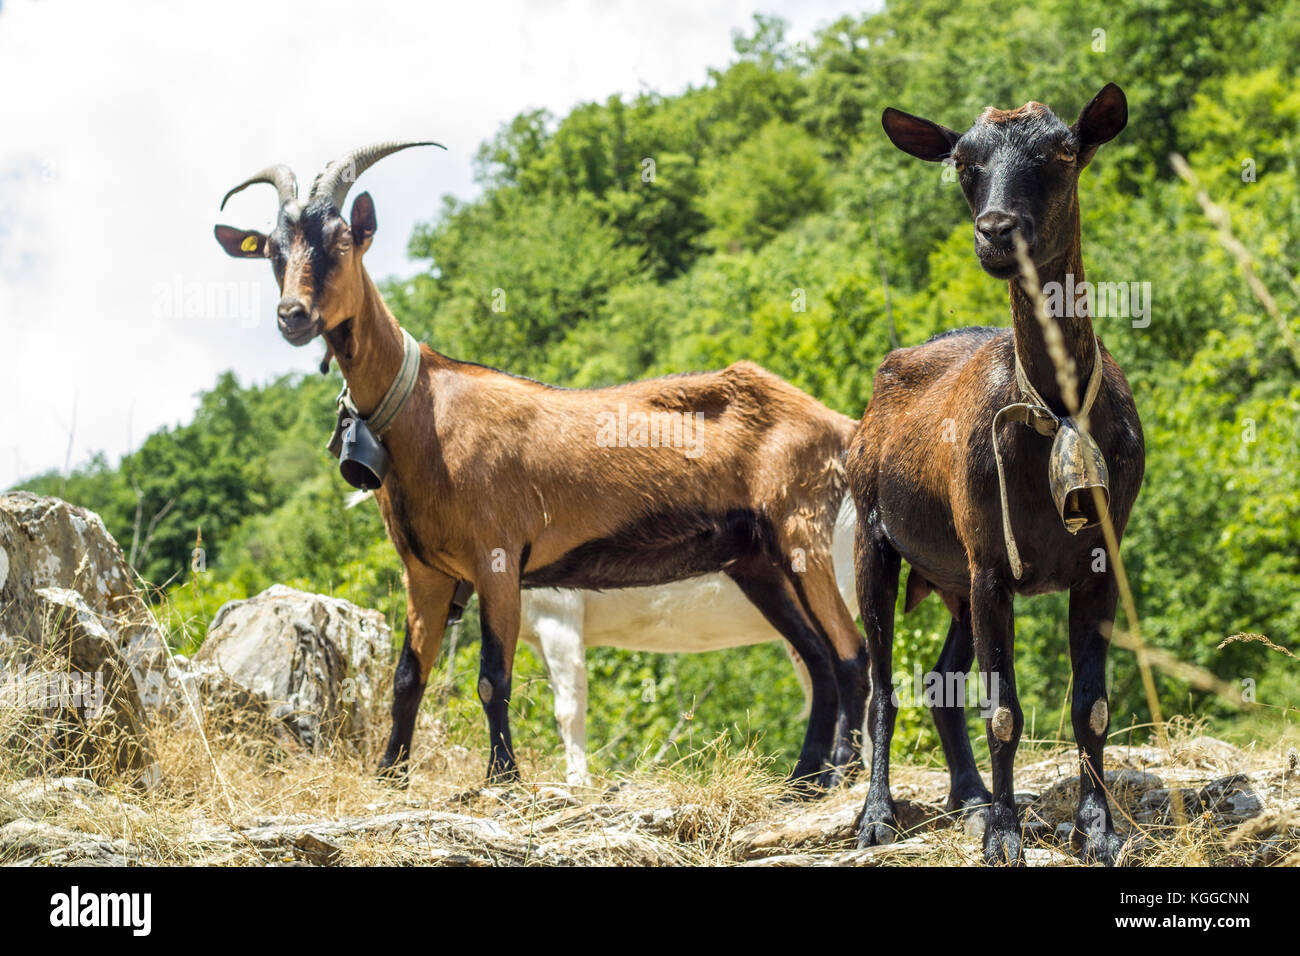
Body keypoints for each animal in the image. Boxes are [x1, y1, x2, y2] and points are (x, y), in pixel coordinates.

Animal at [848, 84, 1144, 864]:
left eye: (1065, 150)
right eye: (963, 161)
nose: (996, 231)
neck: (1055, 411)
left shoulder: (1099, 560)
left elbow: (1092, 703)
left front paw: (1098, 830)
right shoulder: (991, 563)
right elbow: (1003, 709)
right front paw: (1008, 836)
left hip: (952, 580)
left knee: (940, 679)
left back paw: (973, 797)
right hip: (876, 541)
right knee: (881, 686)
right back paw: (878, 816)